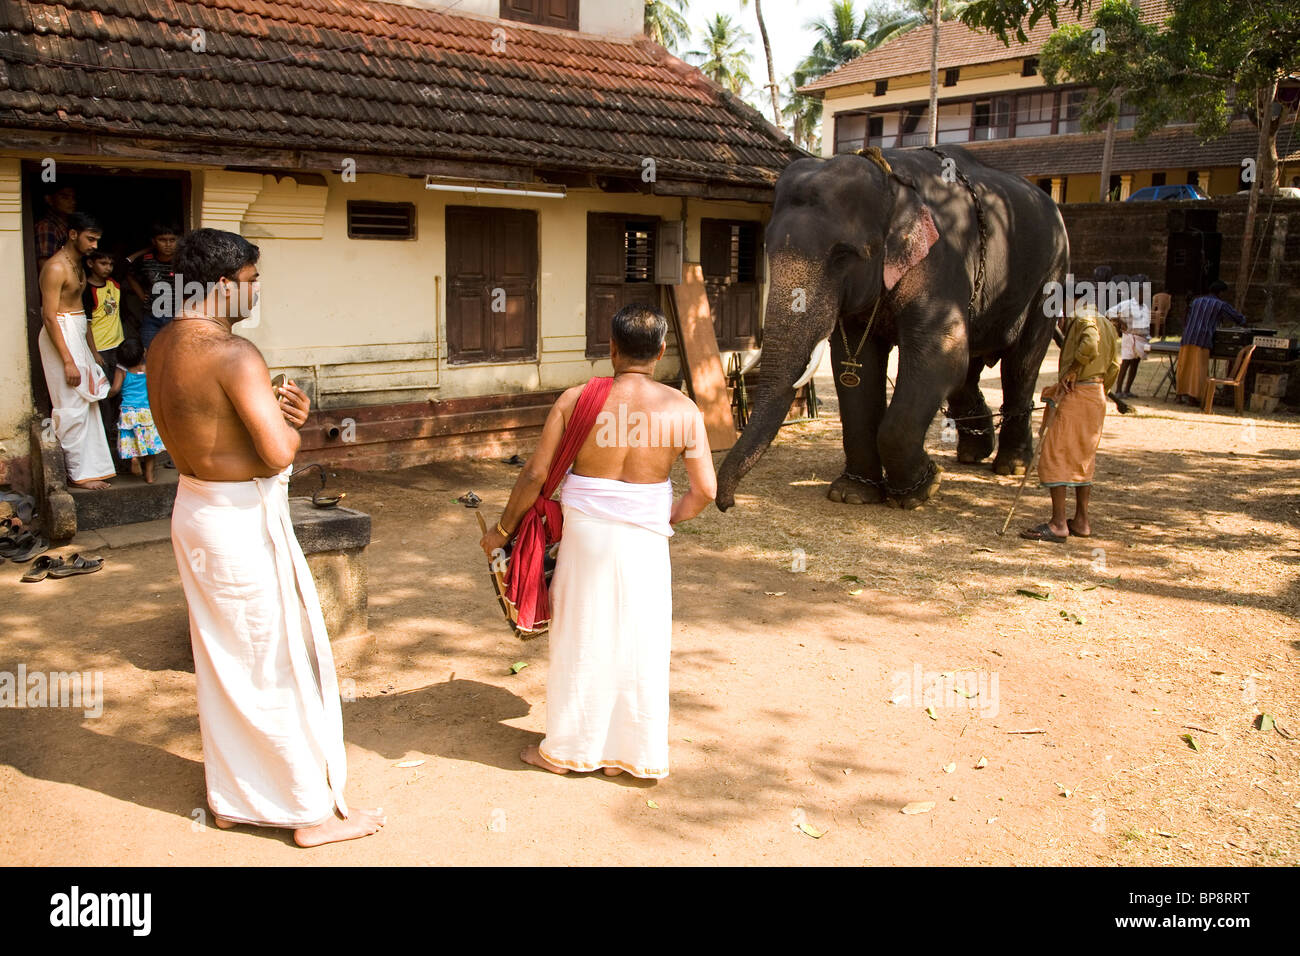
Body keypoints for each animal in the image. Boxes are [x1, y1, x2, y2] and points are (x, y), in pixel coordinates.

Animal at [715, 145, 1069, 512]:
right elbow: (856, 367)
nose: (727, 504)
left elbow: (937, 356)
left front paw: (921, 490)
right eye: (767, 250)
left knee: (1021, 365)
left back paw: (1012, 466)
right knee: (968, 370)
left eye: (842, 255)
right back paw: (972, 455)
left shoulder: (942, 263)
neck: (891, 183)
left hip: (1051, 275)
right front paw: (852, 494)